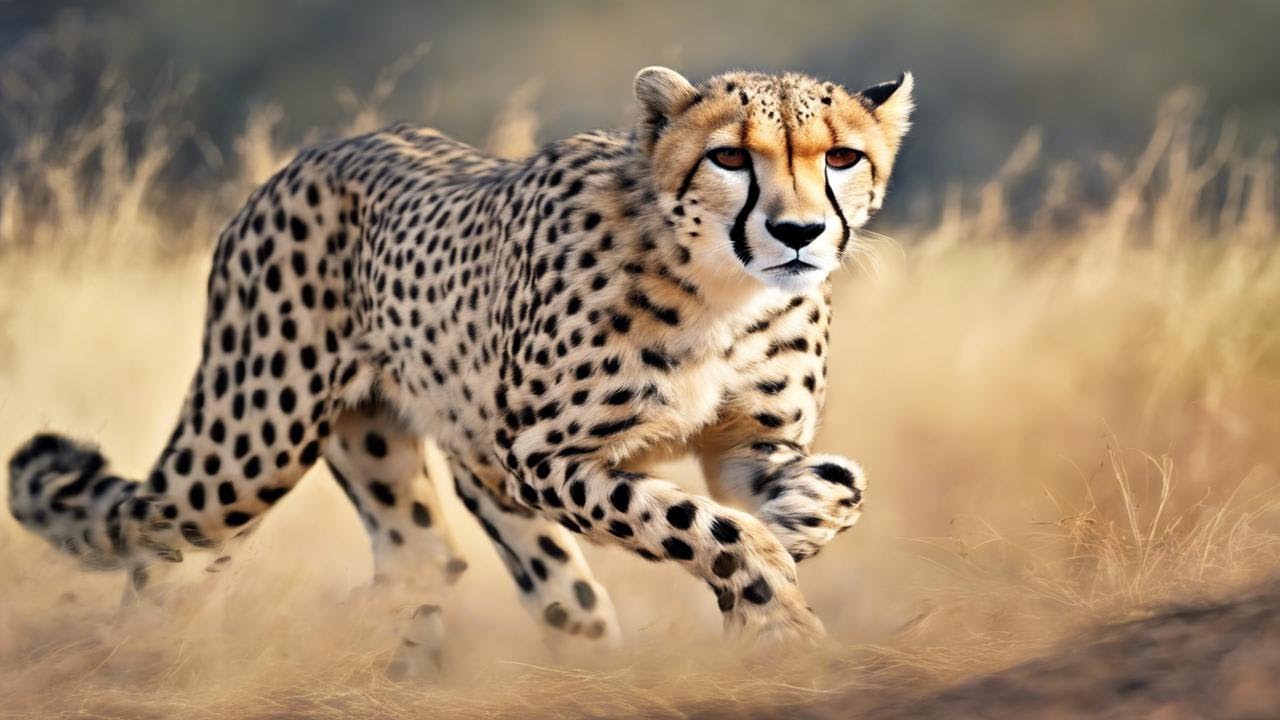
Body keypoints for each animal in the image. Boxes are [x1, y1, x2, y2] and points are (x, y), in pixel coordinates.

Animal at [7, 65, 913, 675]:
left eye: (840, 158)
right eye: (729, 157)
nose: (798, 233)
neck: (723, 293)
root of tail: (314, 153)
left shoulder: (744, 444)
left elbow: (836, 487)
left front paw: (797, 528)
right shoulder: (545, 456)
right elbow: (709, 528)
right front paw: (776, 608)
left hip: (419, 455)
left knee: (440, 566)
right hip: (245, 454)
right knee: (162, 543)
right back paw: (146, 668)